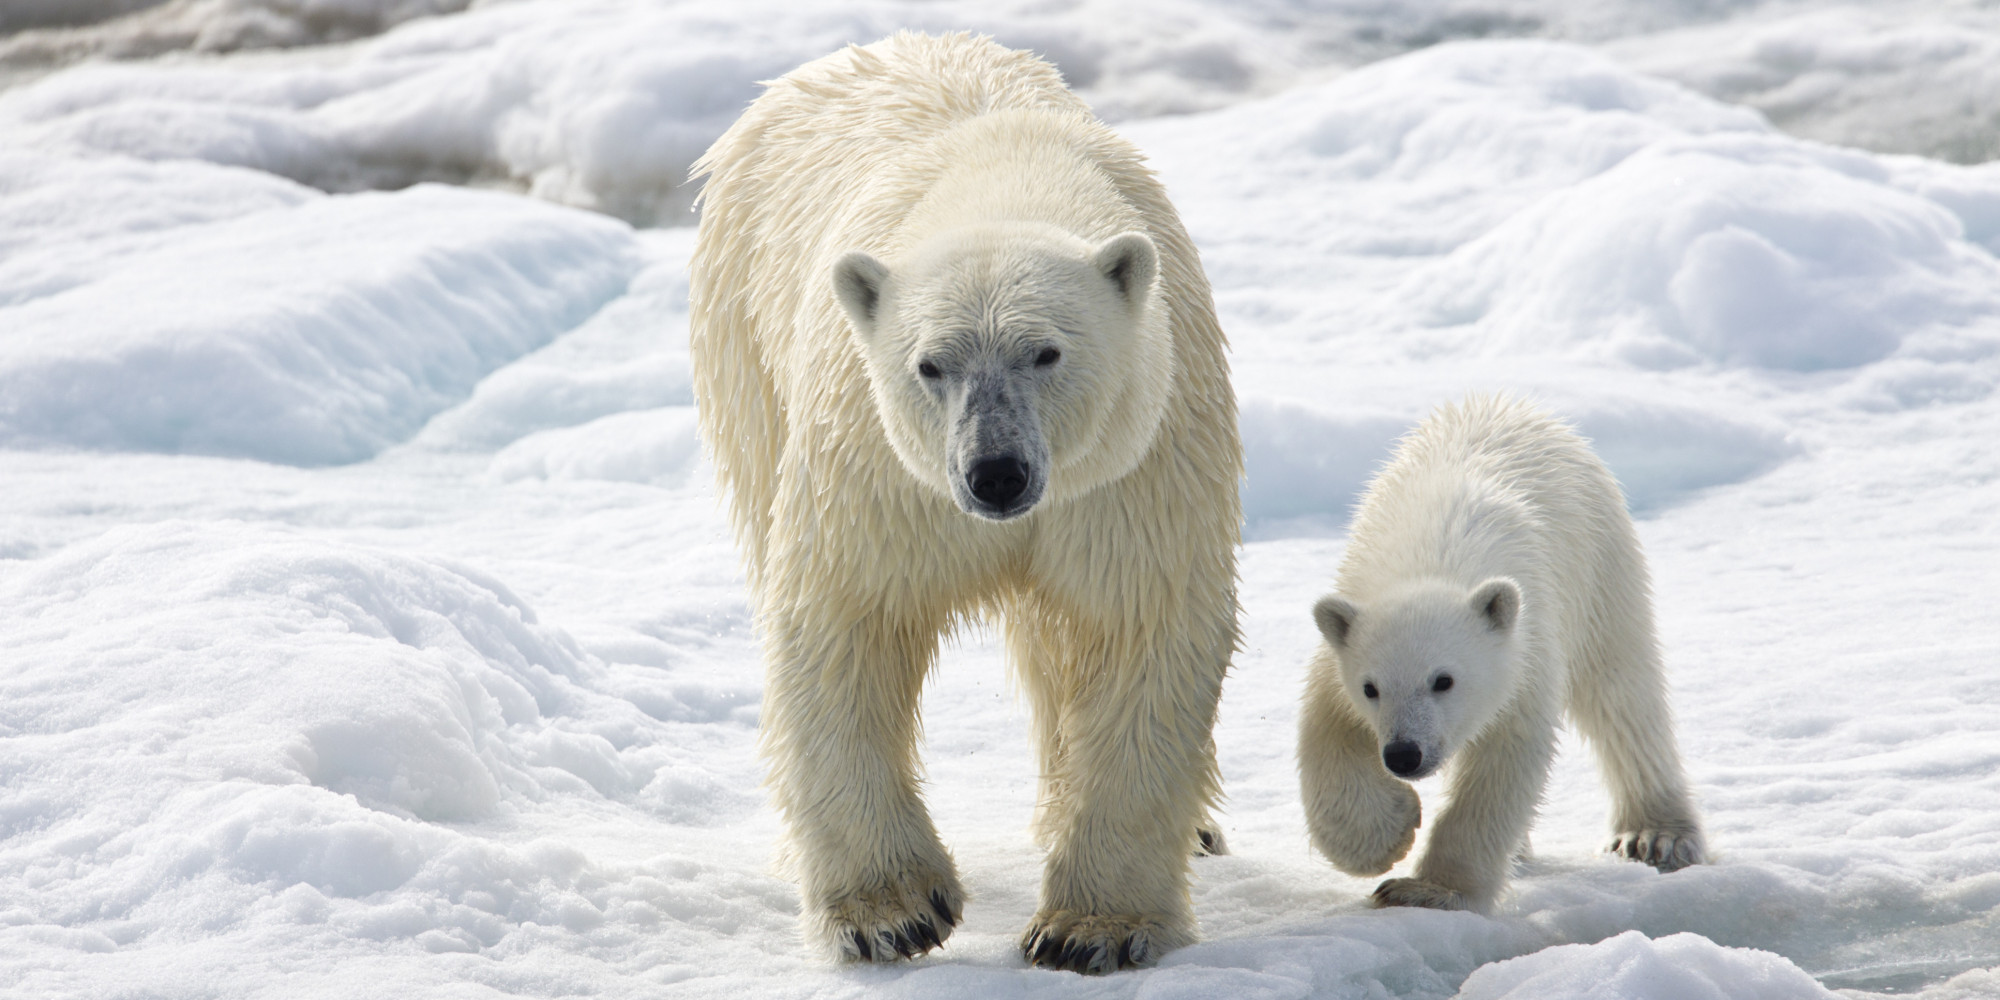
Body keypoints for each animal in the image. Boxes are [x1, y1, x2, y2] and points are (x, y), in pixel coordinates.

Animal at [687, 33, 1241, 974]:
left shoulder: (1133, 470)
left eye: (1046, 352)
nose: (996, 474)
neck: (1005, 176)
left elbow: (1141, 626)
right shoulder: (880, 474)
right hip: (744, 343)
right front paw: (889, 914)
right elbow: (846, 623)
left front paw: (1093, 928)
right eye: (930, 364)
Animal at [1297, 394, 1704, 912]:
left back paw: (1655, 835)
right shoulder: (1341, 650)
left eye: (1443, 680)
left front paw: (1429, 889)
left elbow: (1504, 762)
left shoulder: (1526, 651)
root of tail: (1508, 402)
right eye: (1371, 688)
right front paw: (1387, 833)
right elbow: (1327, 728)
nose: (1404, 755)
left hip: (1602, 567)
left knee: (1621, 692)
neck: (1432, 559)